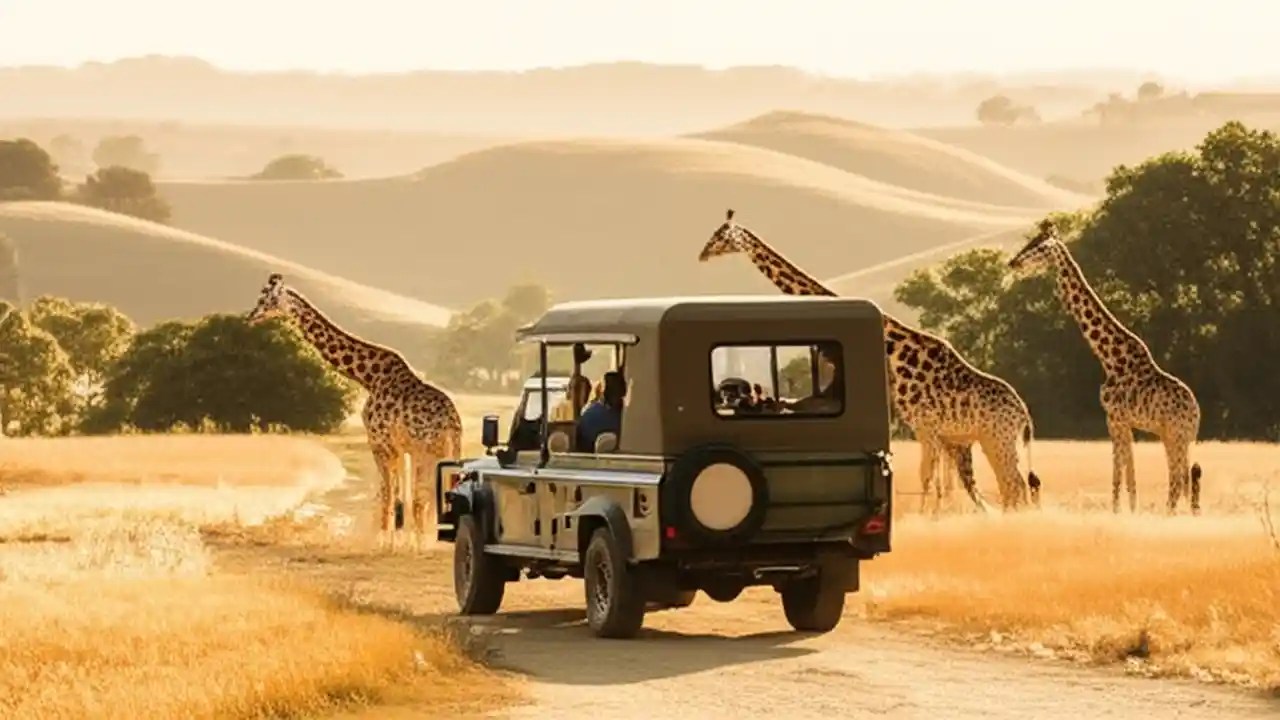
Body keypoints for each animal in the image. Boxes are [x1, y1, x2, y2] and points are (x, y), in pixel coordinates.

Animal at [246, 273, 463, 549]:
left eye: (266, 298)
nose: (251, 317)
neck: (368, 378)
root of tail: (452, 423)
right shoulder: (400, 448)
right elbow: (397, 495)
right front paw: (398, 542)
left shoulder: (381, 443)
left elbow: (390, 496)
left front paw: (387, 543)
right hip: (441, 451)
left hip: (428, 450)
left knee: (424, 496)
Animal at [700, 209, 1041, 512]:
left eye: (719, 236)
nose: (702, 254)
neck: (893, 347)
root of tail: (1024, 414)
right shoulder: (932, 431)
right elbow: (937, 483)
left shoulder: (926, 427)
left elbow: (927, 479)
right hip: (982, 440)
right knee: (1005, 487)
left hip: (998, 439)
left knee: (1014, 485)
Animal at [1008, 219, 1202, 515]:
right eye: (1031, 241)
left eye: (1040, 247)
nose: (1013, 262)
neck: (1110, 359)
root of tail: (1197, 413)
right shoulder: (1124, 421)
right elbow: (1129, 473)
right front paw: (1130, 512)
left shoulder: (1114, 417)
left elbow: (1119, 474)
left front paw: (1120, 513)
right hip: (1176, 437)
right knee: (1186, 479)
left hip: (1177, 435)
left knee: (1178, 479)